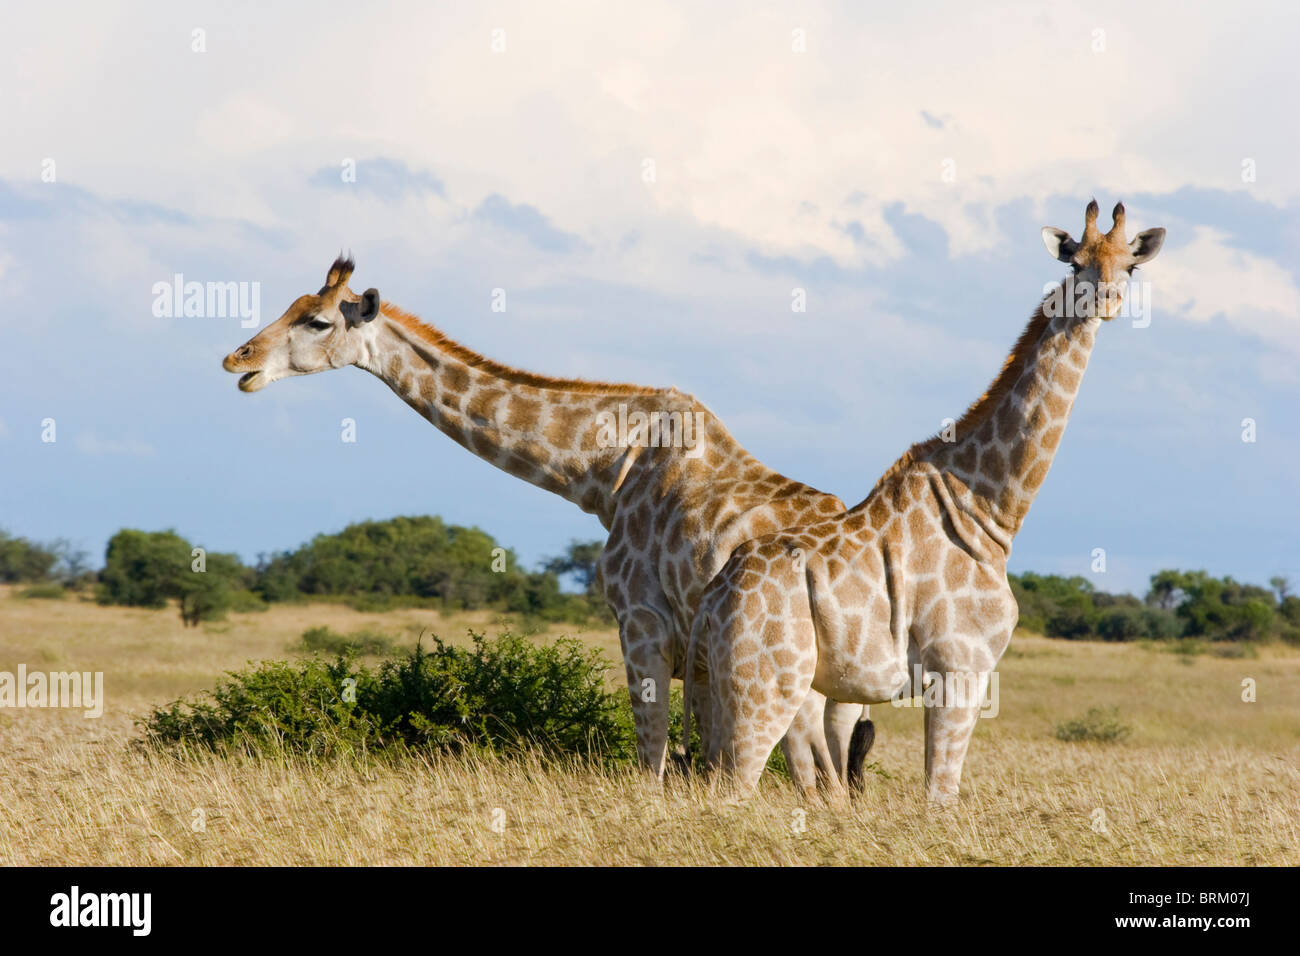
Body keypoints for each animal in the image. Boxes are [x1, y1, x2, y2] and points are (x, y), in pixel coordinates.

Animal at [222, 256, 874, 796]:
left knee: (816, 783)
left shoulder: (641, 623)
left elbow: (653, 764)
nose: (237, 360)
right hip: (840, 693)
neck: (605, 474)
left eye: (317, 322)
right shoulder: (698, 660)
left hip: (790, 680)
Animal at [686, 201, 1165, 803]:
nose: (1103, 302)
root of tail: (712, 599)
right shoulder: (960, 666)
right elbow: (941, 793)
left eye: (1130, 267)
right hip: (766, 686)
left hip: (720, 687)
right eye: (1075, 263)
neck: (989, 512)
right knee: (732, 789)